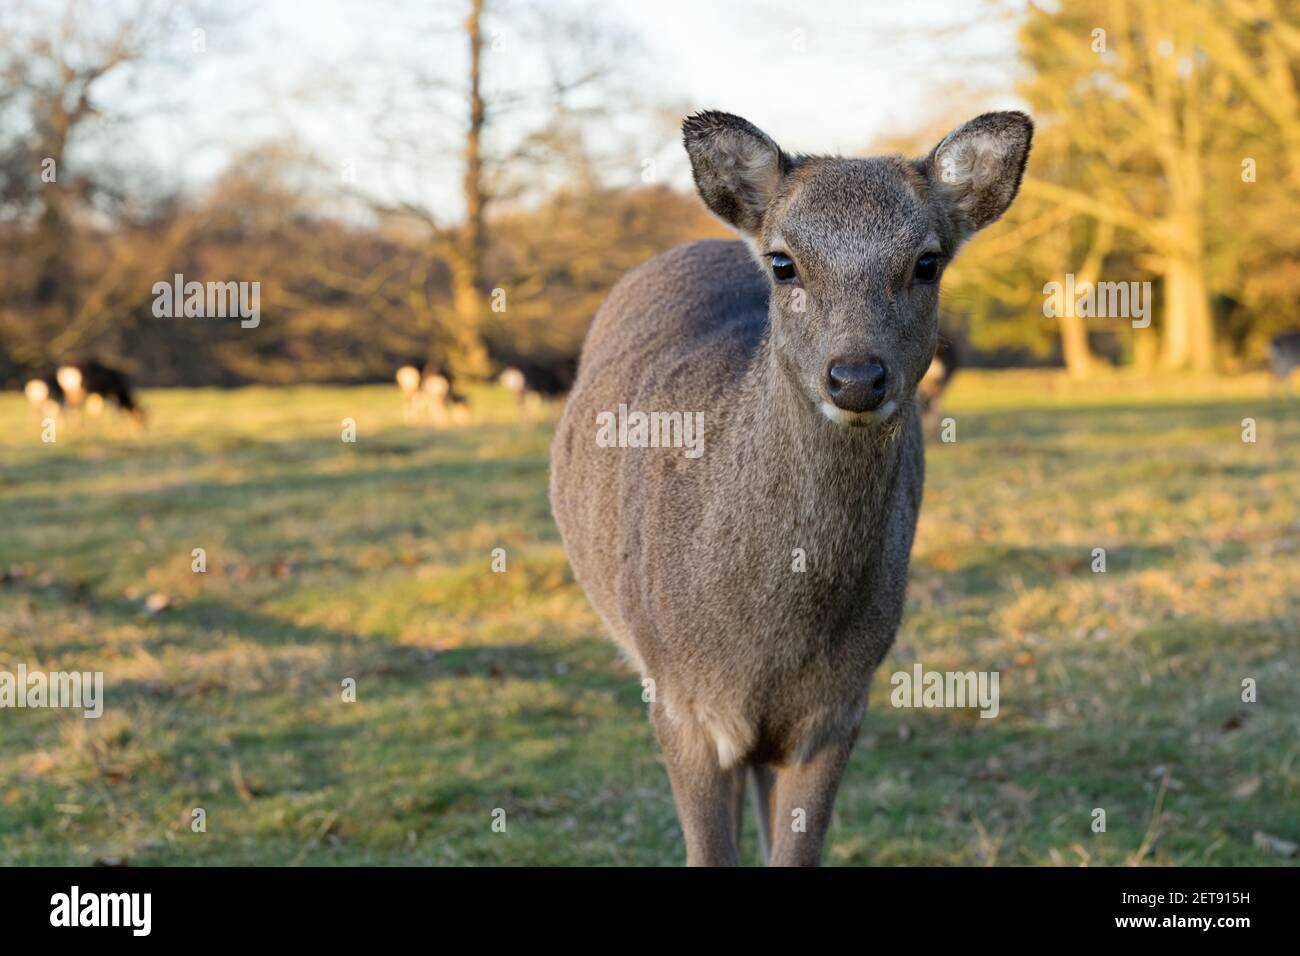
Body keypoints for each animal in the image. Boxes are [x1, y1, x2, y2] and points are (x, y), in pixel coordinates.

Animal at [550, 110, 1032, 866]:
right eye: (783, 262)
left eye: (928, 261)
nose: (857, 377)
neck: (762, 644)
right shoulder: (677, 699)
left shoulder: (841, 708)